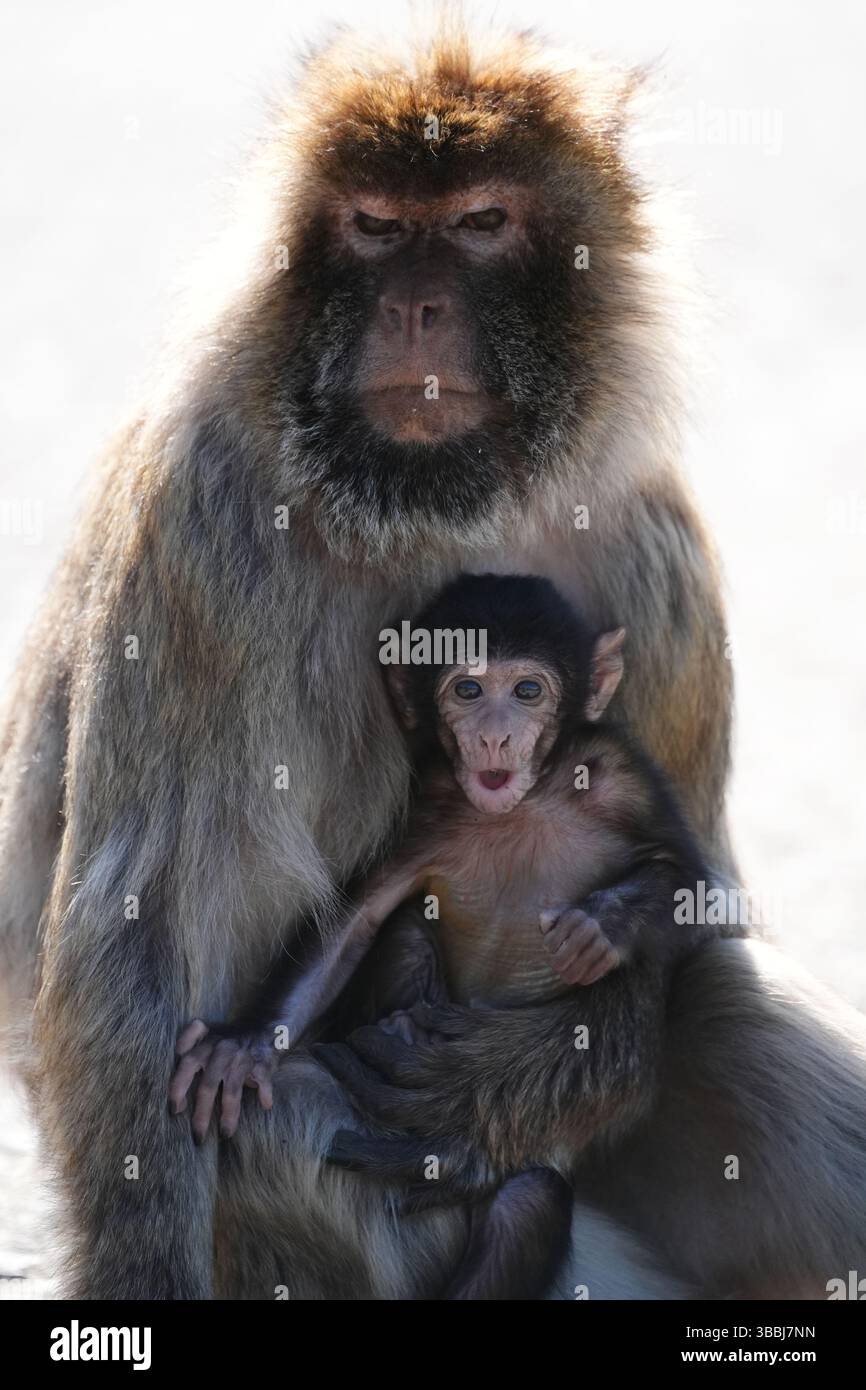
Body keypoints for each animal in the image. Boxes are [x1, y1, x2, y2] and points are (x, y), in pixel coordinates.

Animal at [168, 572, 723, 1299]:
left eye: (527, 691)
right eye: (468, 690)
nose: (493, 738)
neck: (529, 797)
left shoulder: (621, 772)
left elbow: (688, 884)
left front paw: (603, 926)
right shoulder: (425, 805)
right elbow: (359, 919)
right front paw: (246, 1046)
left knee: (527, 1202)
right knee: (407, 935)